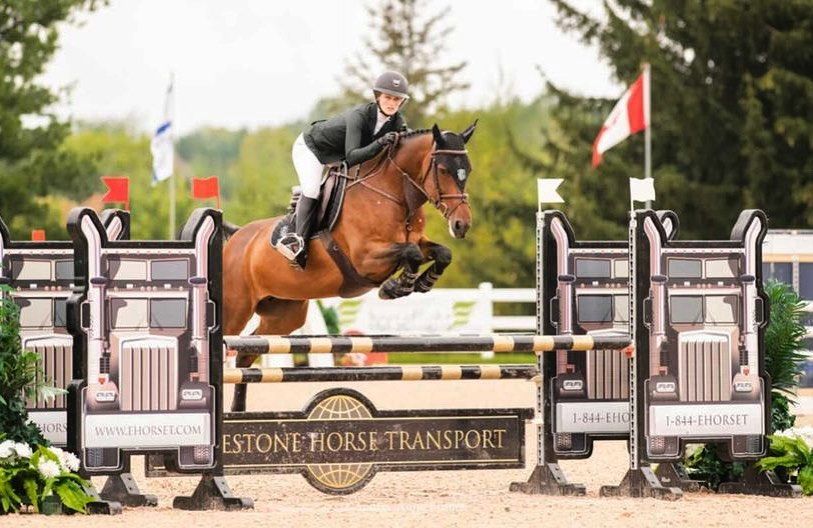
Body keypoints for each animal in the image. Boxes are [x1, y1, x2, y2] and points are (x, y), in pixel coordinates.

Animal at [223, 122, 477, 412]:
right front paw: (395, 287)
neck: (394, 195)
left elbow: (442, 253)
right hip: (236, 309)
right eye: (443, 169)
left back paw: (238, 412)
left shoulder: (416, 242)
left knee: (246, 353)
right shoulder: (366, 258)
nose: (461, 224)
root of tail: (237, 236)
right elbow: (409, 253)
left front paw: (422, 282)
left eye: (468, 170)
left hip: (283, 316)